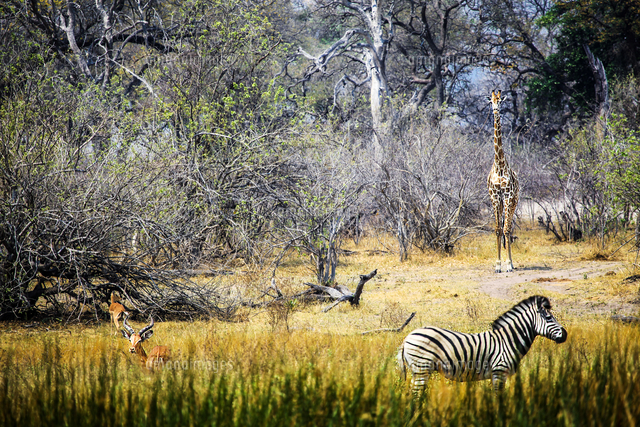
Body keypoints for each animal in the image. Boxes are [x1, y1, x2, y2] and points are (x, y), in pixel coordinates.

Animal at [397, 295, 567, 392]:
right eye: (549, 318)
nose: (565, 335)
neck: (508, 339)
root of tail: (406, 338)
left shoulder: (496, 374)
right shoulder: (499, 371)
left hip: (418, 371)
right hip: (422, 368)